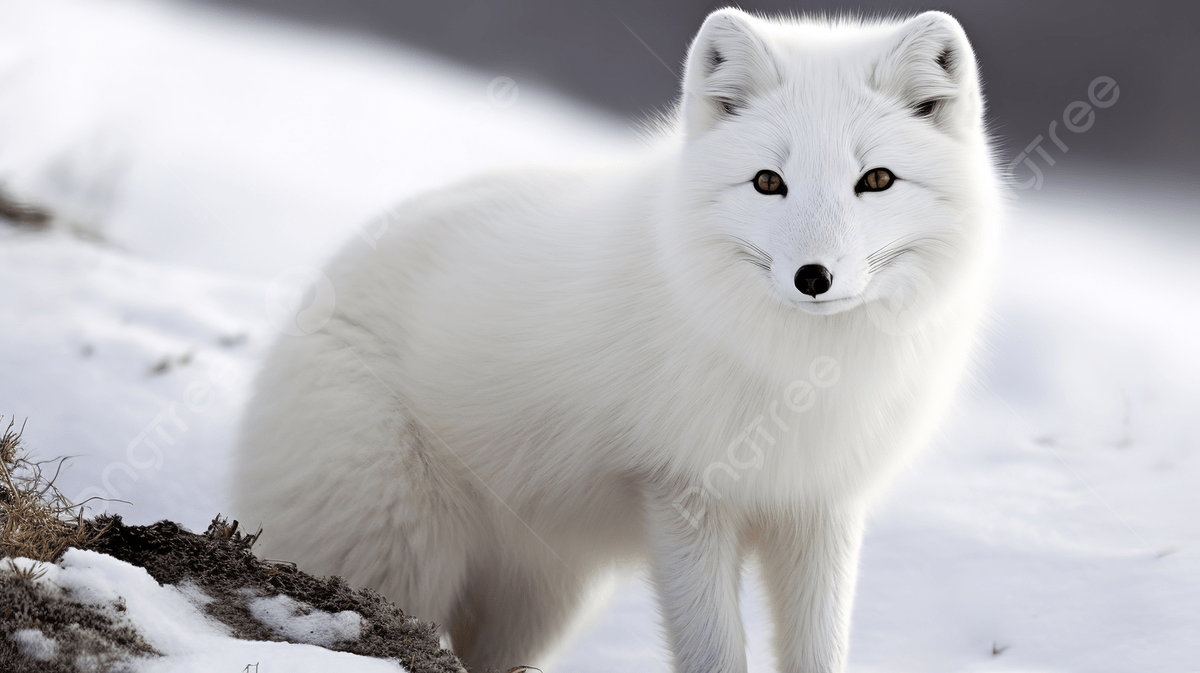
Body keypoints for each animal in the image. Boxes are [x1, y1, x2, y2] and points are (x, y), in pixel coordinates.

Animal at [234, 8, 1000, 673]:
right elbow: (714, 651)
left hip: (543, 595)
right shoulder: (681, 494)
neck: (803, 371)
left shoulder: (819, 505)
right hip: (400, 553)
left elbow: (819, 649)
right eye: (767, 182)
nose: (814, 277)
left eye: (876, 180)